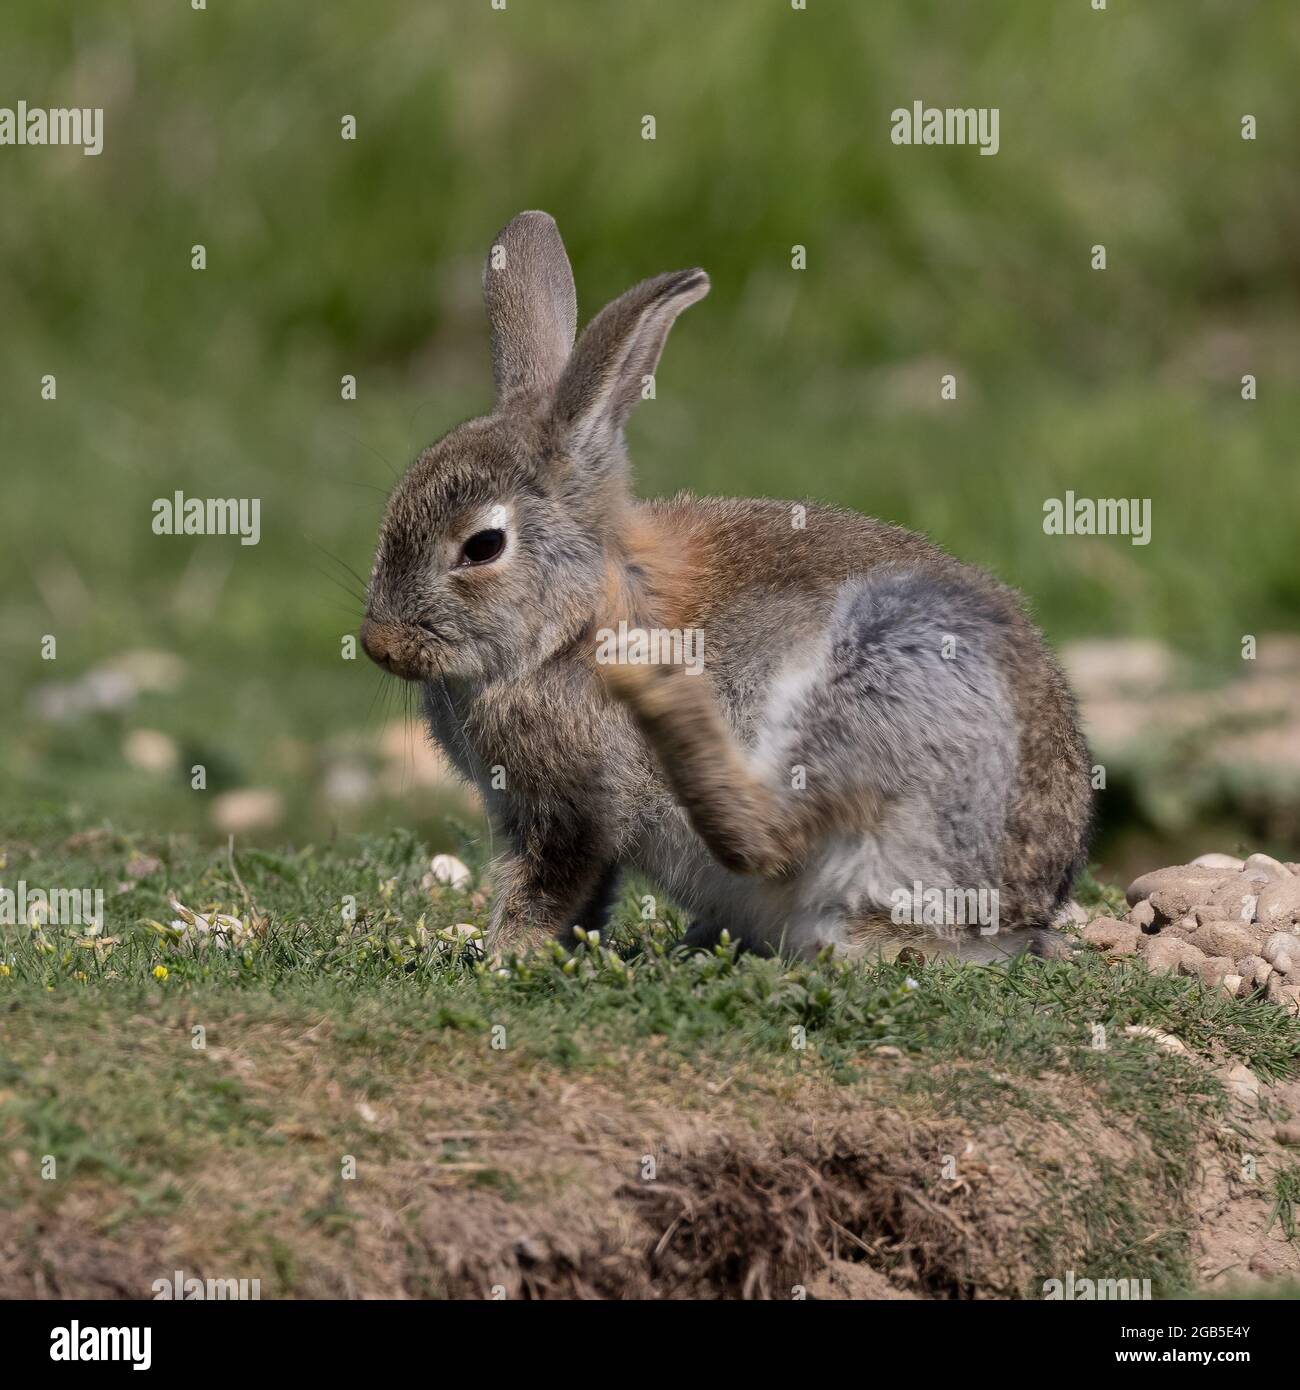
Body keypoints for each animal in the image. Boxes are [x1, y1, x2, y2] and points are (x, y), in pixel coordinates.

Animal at [360, 210, 1093, 963]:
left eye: (482, 546)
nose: (380, 645)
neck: (572, 622)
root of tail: (1006, 916)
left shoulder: (580, 807)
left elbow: (547, 887)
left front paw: (508, 956)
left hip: (883, 683)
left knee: (770, 839)